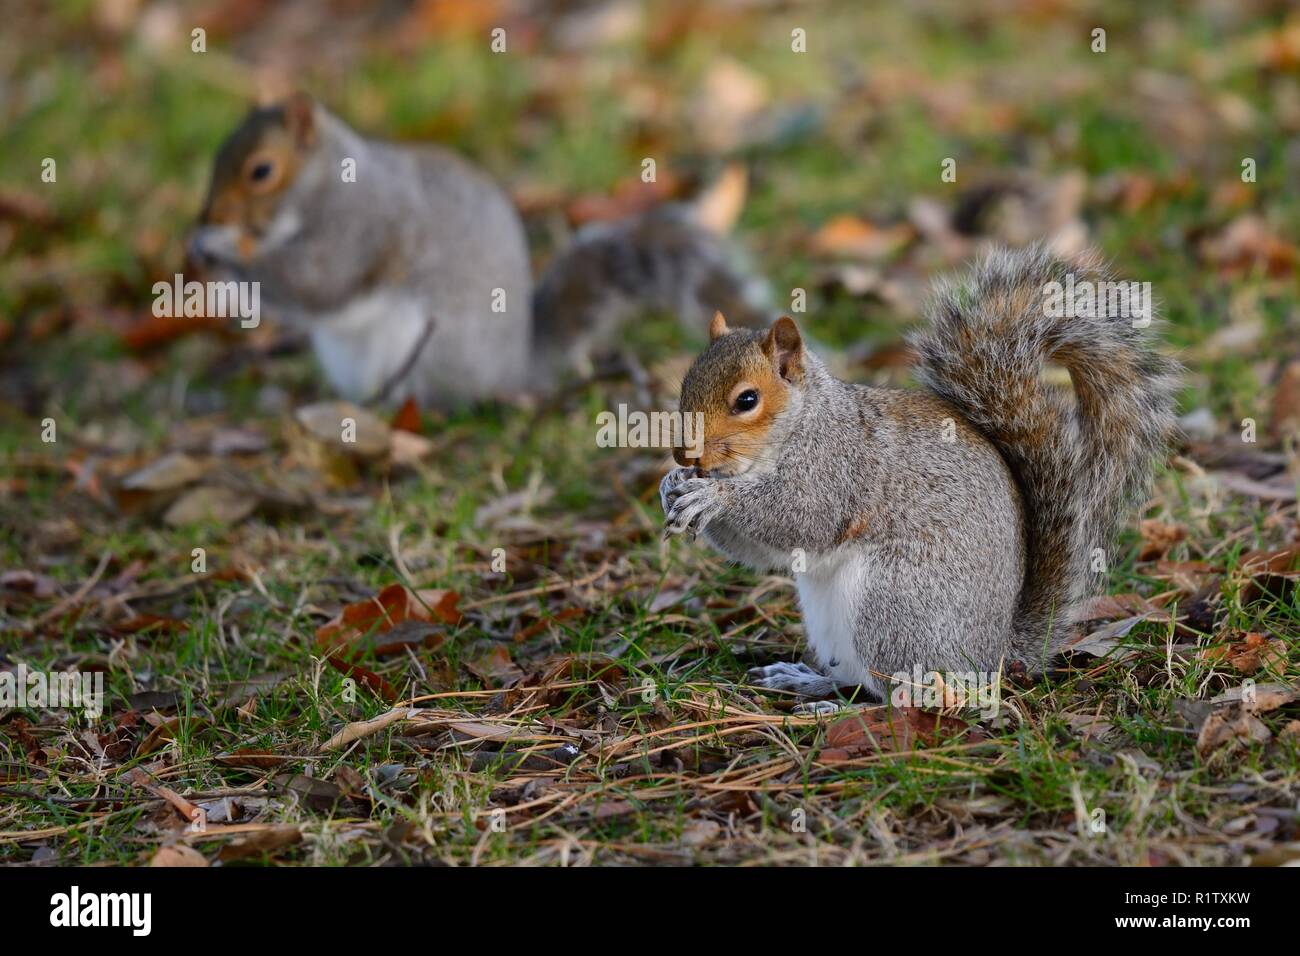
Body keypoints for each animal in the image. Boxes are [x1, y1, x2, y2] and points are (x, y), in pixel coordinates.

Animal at [186, 92, 770, 407]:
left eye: (261, 170)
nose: (208, 217)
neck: (327, 184)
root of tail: (513, 369)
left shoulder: (361, 227)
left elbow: (318, 283)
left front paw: (221, 255)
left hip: (425, 348)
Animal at [660, 245, 1180, 704]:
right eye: (685, 385)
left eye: (747, 400)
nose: (685, 455)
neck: (801, 423)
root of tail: (994, 655)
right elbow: (763, 550)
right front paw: (672, 487)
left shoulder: (838, 467)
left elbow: (803, 518)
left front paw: (715, 498)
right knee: (856, 678)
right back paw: (807, 681)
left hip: (894, 607)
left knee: (907, 695)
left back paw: (841, 710)